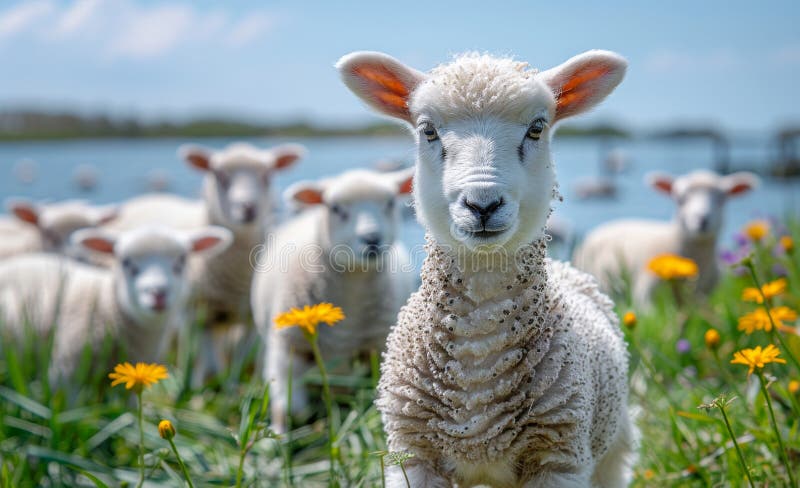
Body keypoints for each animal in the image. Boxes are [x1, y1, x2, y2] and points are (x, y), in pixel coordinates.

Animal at [252, 167, 415, 432]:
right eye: (335, 208)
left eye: (390, 202)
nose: (372, 238)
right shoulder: (290, 345)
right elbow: (288, 406)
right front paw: (280, 435)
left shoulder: (376, 346)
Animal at [337, 50, 636, 487]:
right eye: (428, 131)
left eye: (537, 128)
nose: (482, 204)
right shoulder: (413, 454)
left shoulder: (560, 458)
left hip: (613, 448)